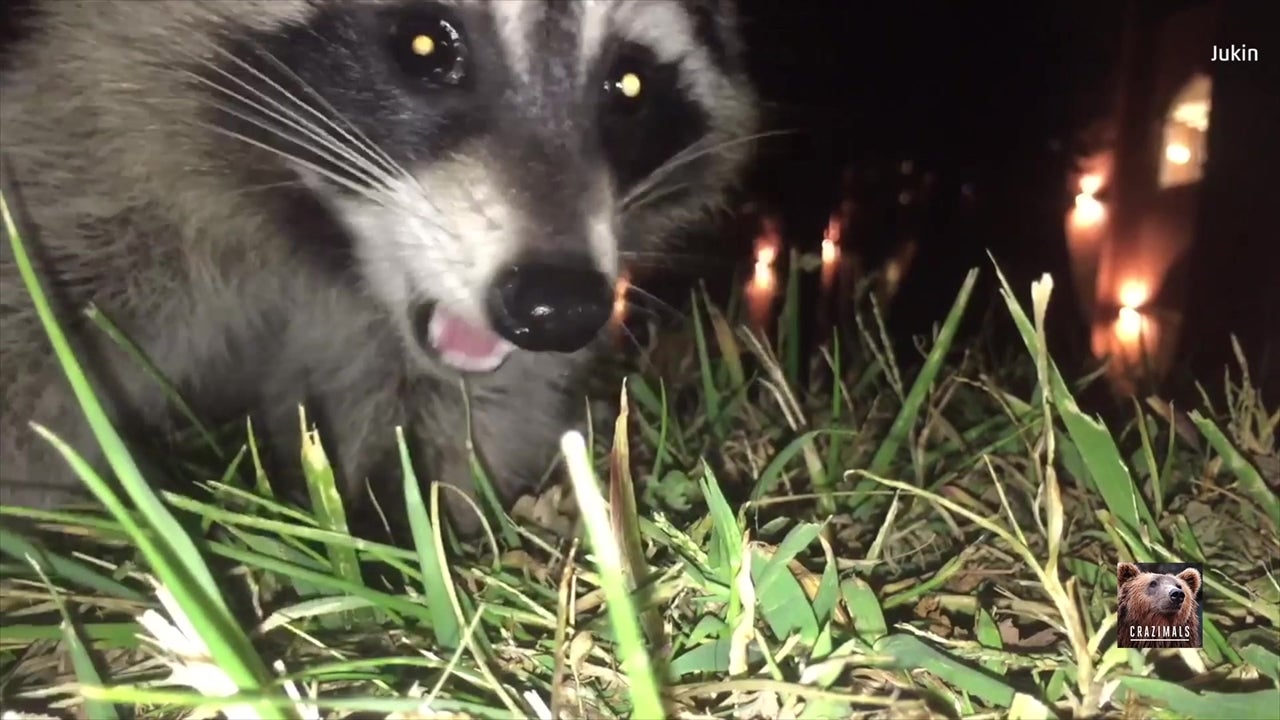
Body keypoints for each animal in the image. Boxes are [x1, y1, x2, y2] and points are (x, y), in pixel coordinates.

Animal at [0, 0, 757, 533]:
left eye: (629, 84)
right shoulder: (92, 174)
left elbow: (460, 416)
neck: (317, 233)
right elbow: (34, 329)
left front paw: (408, 530)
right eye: (425, 44)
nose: (558, 306)